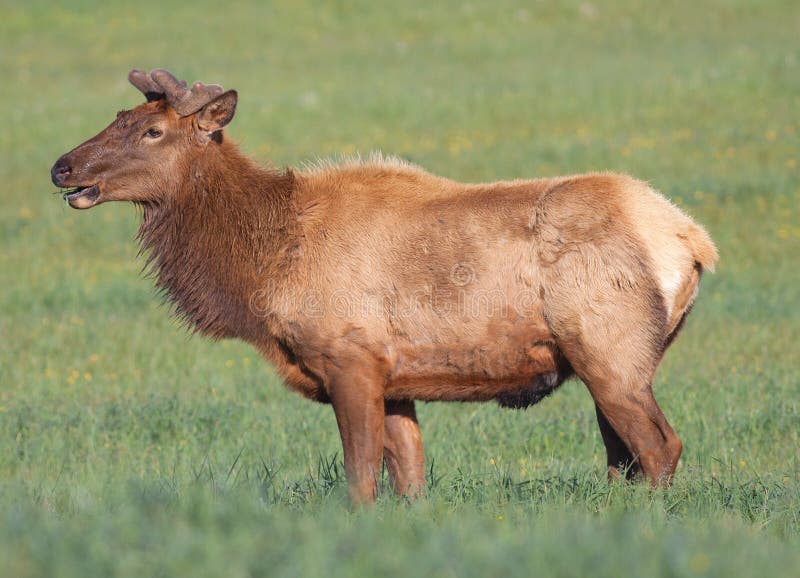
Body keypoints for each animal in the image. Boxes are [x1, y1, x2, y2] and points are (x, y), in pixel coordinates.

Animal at [51, 69, 718, 505]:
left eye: (153, 132)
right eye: (119, 117)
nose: (62, 166)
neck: (265, 266)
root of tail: (693, 239)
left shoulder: (350, 357)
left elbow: (360, 478)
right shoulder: (397, 379)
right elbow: (410, 479)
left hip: (610, 348)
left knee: (659, 447)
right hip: (602, 359)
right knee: (621, 456)